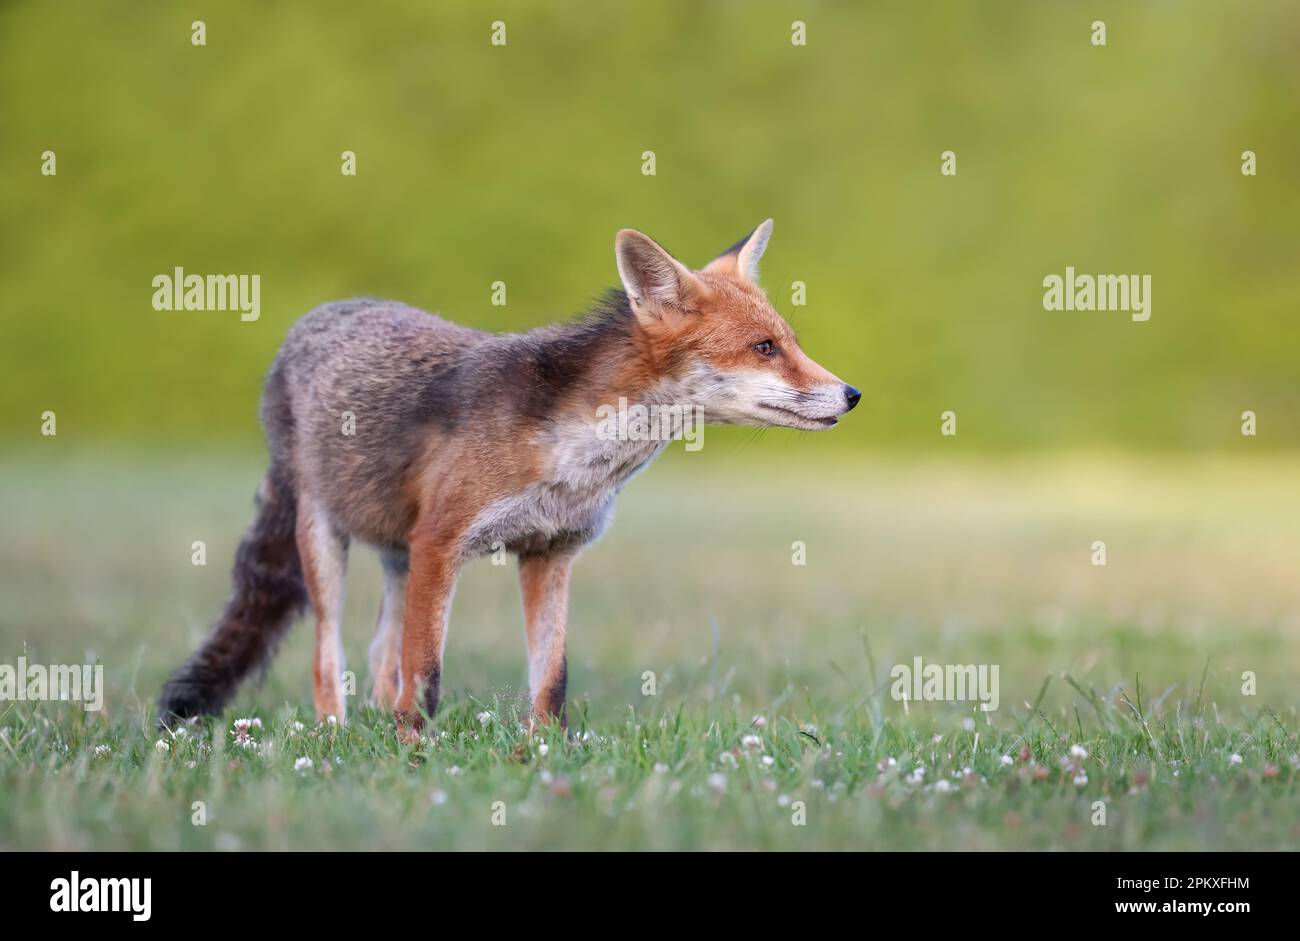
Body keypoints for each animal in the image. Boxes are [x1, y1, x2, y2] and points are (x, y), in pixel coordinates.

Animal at [158, 220, 859, 735]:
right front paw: (416, 756)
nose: (852, 395)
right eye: (765, 348)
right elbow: (427, 675)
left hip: (398, 556)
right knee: (327, 660)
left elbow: (551, 680)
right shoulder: (442, 543)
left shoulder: (549, 553)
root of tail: (318, 318)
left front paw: (543, 756)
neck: (577, 461)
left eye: (790, 341)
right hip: (328, 546)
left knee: (381, 657)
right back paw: (336, 738)